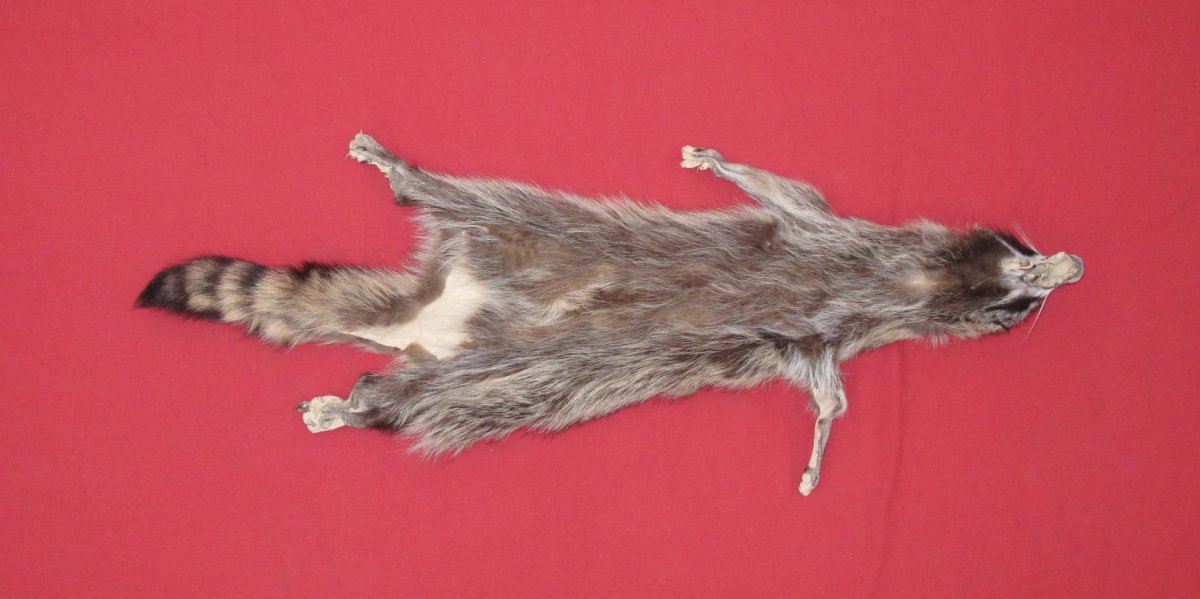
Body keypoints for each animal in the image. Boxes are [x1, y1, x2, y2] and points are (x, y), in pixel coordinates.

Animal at [136, 133, 1083, 495]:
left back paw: (368, 396)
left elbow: (826, 389)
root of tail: (426, 320)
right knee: (463, 195)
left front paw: (820, 438)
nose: (1070, 264)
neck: (925, 279)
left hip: (504, 377)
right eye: (1024, 278)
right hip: (514, 230)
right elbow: (777, 190)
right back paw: (407, 177)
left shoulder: (826, 333)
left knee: (418, 395)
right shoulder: (823, 228)